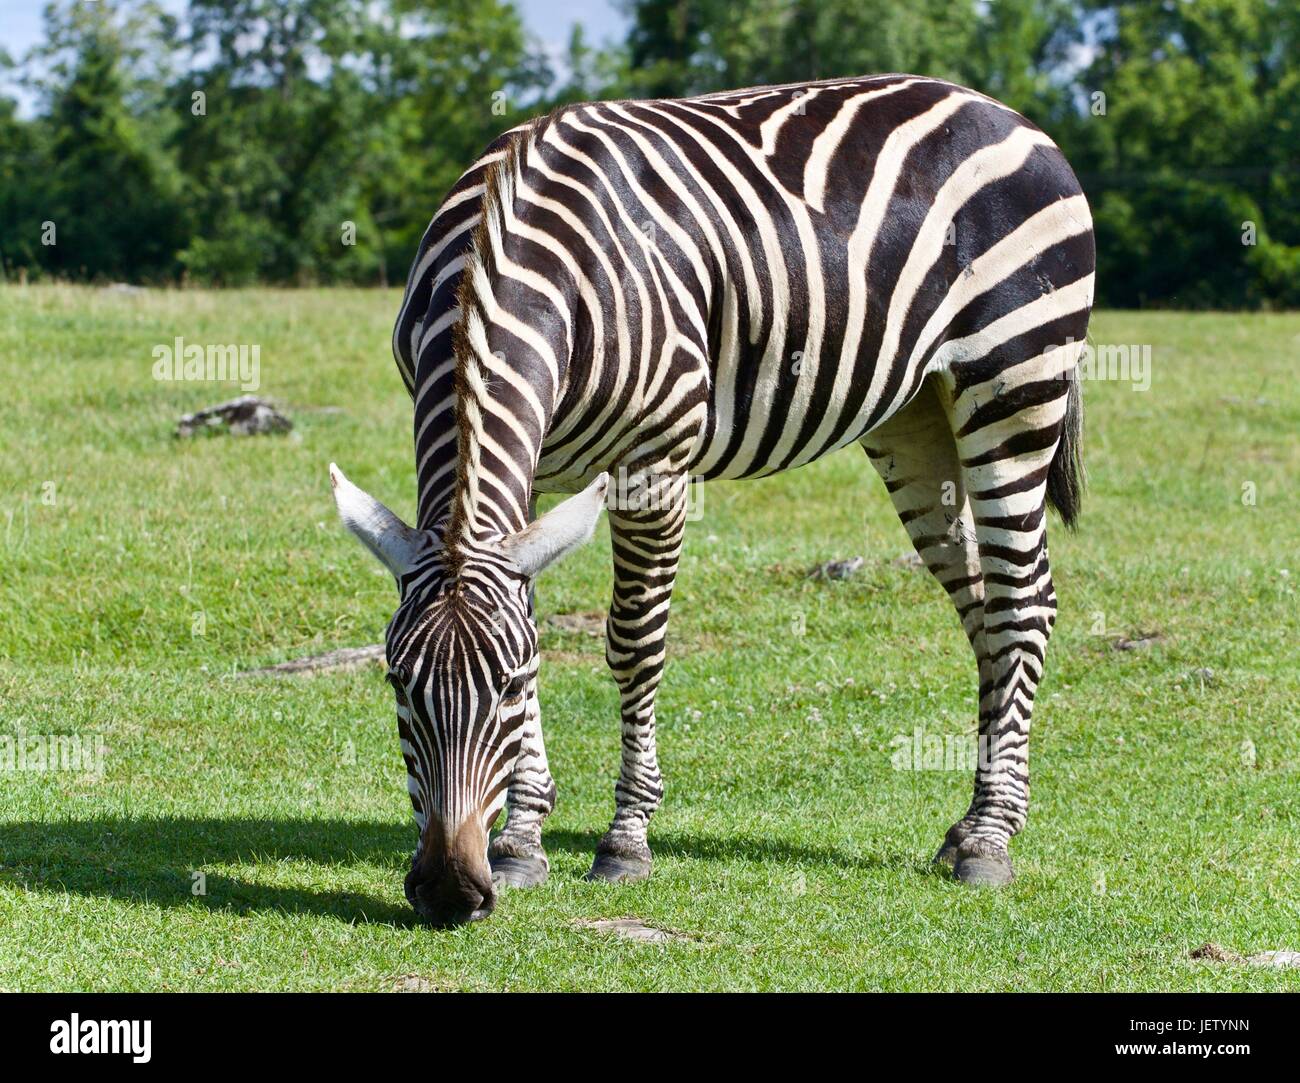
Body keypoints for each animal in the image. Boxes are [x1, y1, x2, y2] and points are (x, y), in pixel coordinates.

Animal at [330, 73, 1094, 926]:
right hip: (918, 415)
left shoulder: (654, 464)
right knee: (988, 606)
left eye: (504, 688)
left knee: (1024, 600)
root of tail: (1007, 112)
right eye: (397, 681)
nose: (449, 891)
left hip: (1015, 383)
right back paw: (969, 826)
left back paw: (991, 840)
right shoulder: (524, 492)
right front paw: (524, 837)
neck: (503, 255)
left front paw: (625, 839)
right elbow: (530, 622)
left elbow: (634, 645)